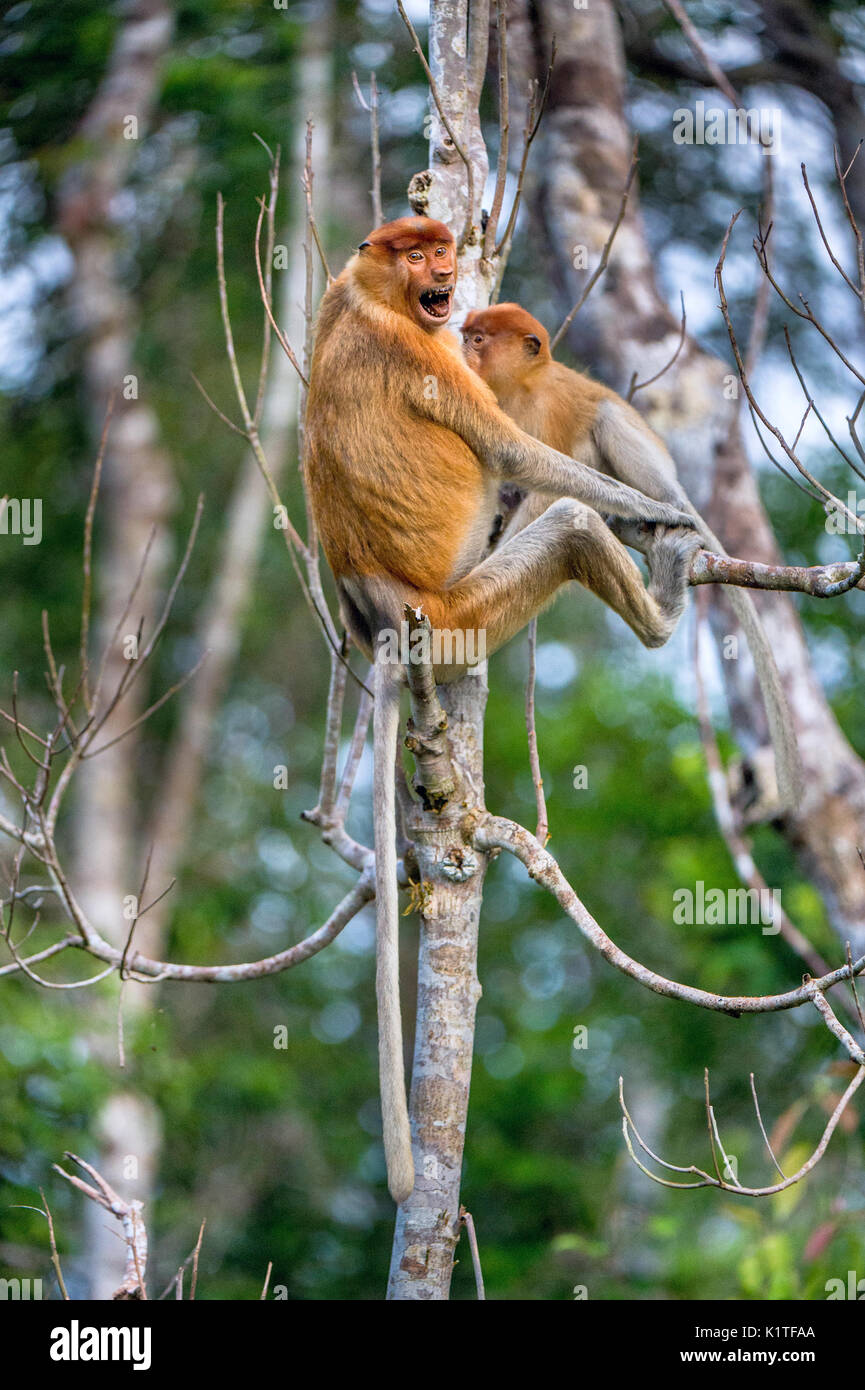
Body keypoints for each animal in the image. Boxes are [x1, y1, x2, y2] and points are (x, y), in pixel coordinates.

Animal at [304, 217, 701, 1205]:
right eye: (412, 252)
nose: (445, 269)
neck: (368, 299)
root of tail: (385, 615)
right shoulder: (427, 355)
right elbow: (517, 453)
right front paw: (664, 514)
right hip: (463, 611)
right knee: (563, 519)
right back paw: (662, 599)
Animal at [460, 301, 802, 813]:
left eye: (479, 340)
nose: (461, 349)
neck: (522, 385)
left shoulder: (546, 410)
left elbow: (550, 480)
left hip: (649, 462)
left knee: (605, 420)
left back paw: (665, 508)